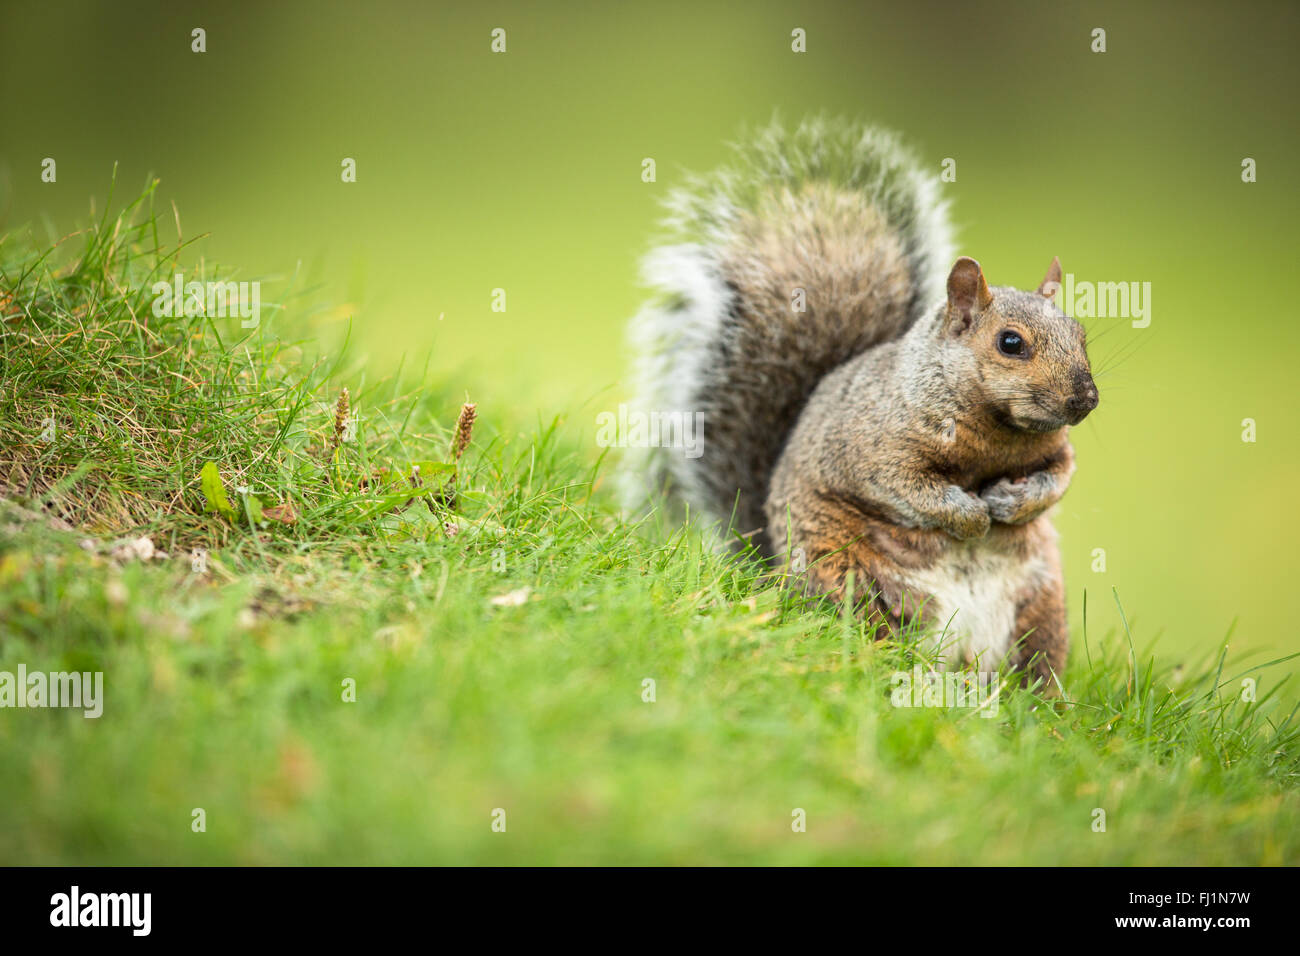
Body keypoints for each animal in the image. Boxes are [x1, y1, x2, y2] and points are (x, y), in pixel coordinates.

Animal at [626, 118, 1098, 685]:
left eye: (1081, 334)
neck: (997, 434)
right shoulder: (876, 448)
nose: (1086, 399)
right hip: (851, 578)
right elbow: (912, 490)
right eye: (1011, 343)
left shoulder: (1054, 450)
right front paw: (971, 517)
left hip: (1040, 608)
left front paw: (1012, 502)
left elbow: (1059, 477)